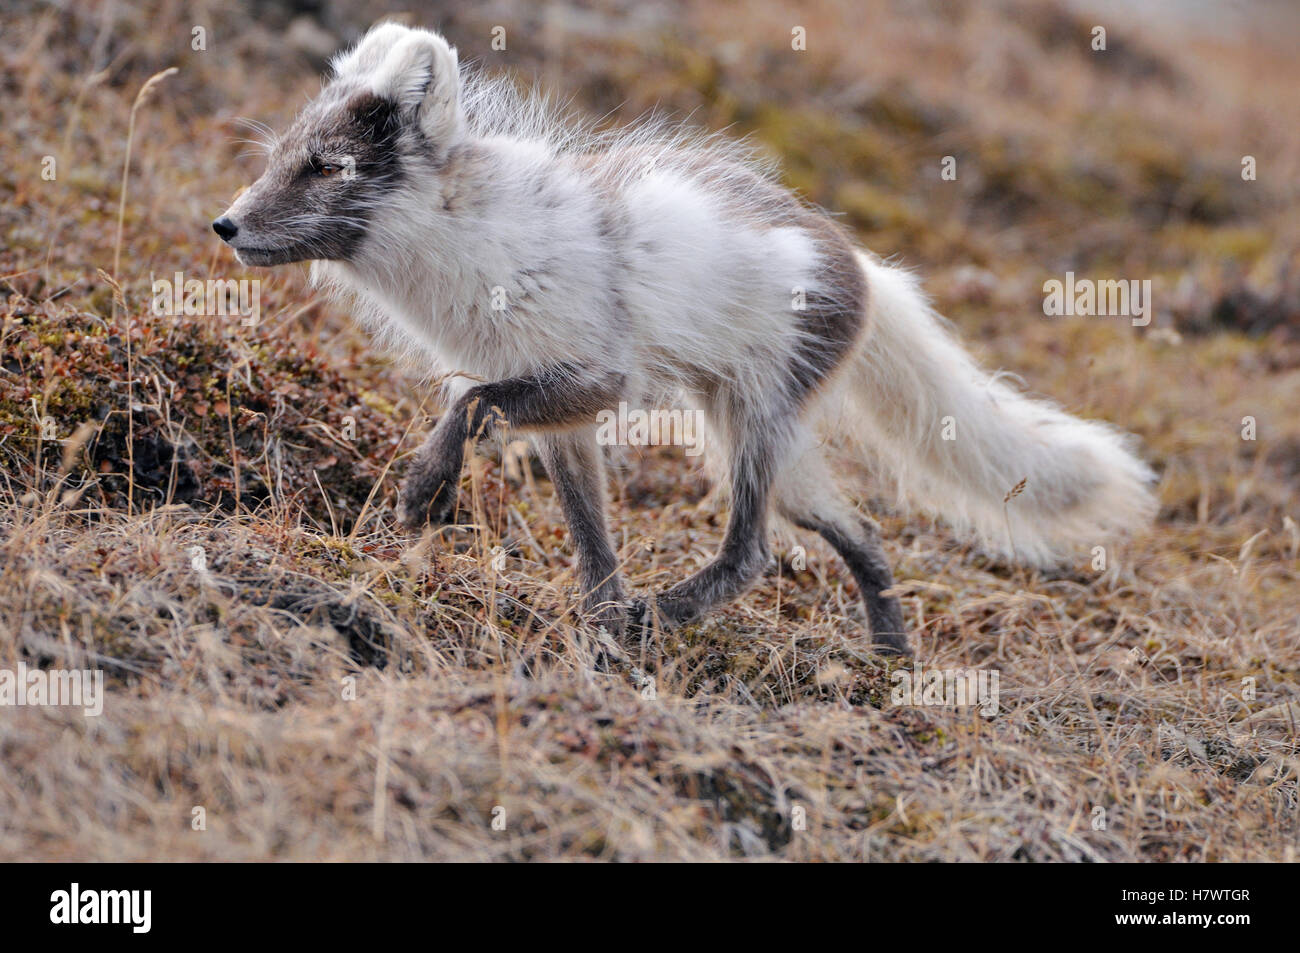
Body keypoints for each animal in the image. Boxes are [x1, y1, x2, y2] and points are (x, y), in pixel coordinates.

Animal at [212, 22, 1157, 656]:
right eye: (284, 154)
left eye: (326, 168)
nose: (224, 225)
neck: (464, 237)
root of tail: (865, 264)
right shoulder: (563, 415)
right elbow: (590, 536)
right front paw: (597, 623)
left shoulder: (598, 376)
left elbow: (472, 403)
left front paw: (426, 488)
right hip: (771, 449)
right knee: (860, 533)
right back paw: (889, 659)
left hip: (752, 426)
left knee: (752, 554)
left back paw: (667, 615)